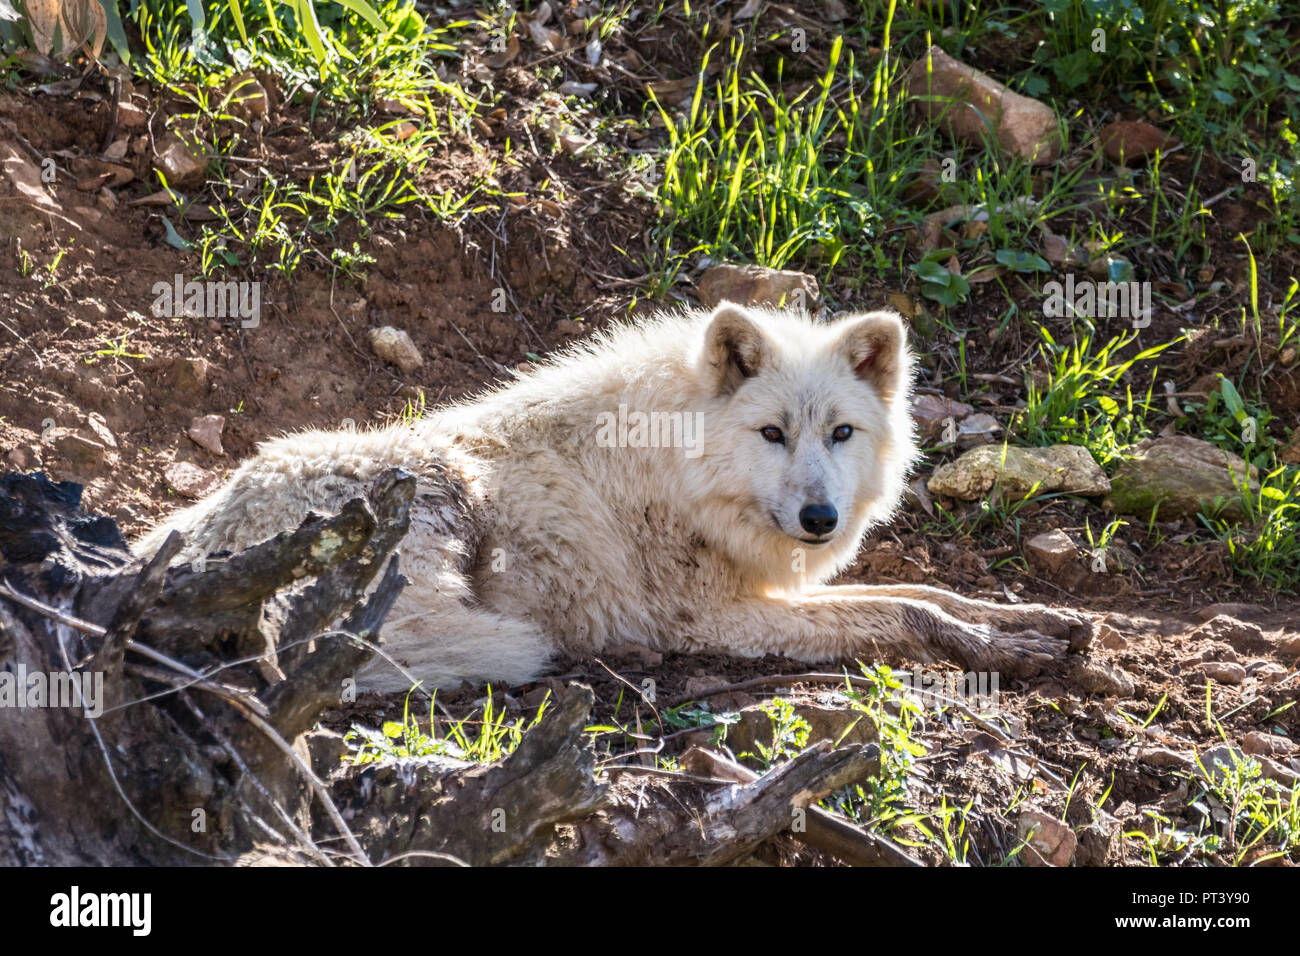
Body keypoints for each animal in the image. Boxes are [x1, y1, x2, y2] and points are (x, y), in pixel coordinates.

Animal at [136, 303, 1092, 691]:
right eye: (772, 433)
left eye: (841, 435)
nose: (820, 520)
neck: (675, 467)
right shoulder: (715, 621)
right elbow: (905, 613)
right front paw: (1006, 651)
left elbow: (926, 590)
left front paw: (1038, 624)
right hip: (428, 497)